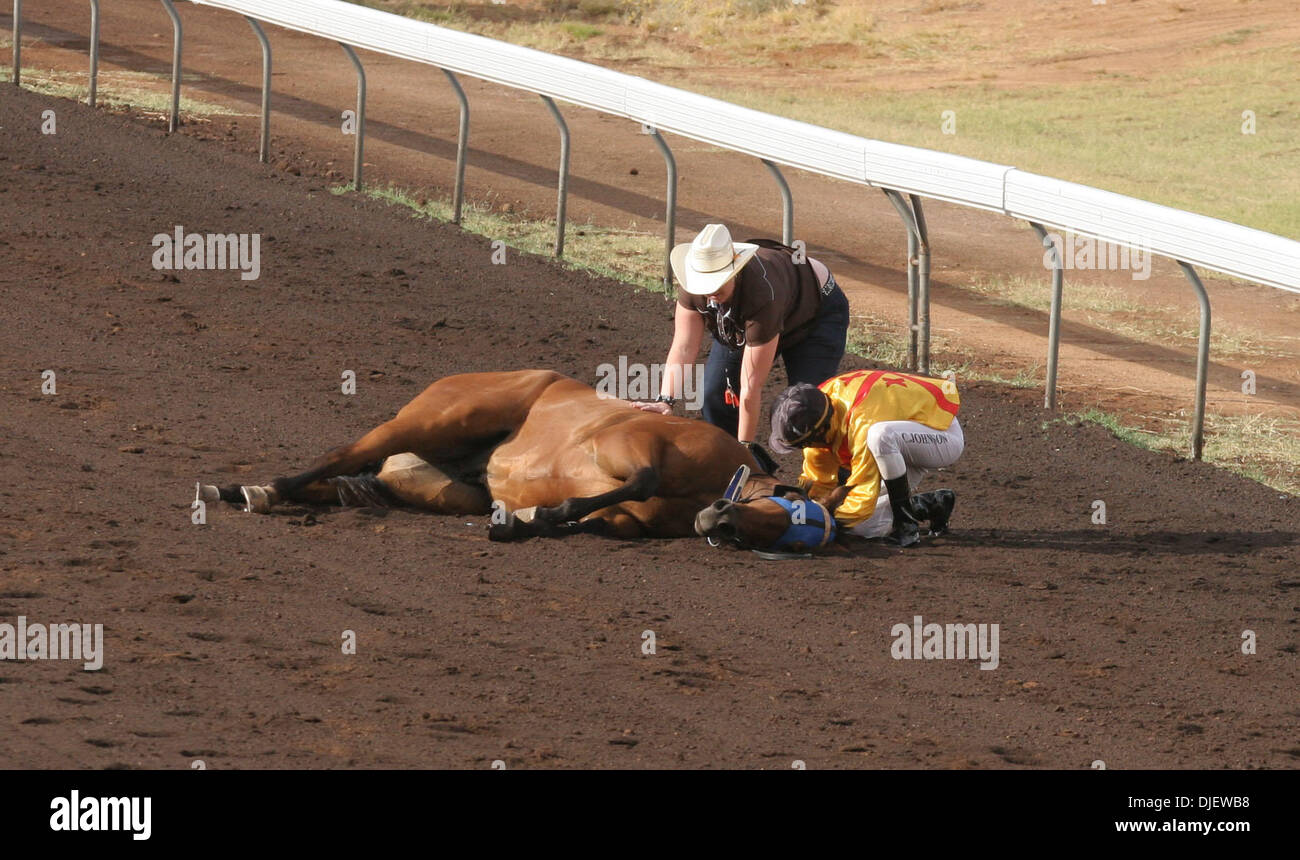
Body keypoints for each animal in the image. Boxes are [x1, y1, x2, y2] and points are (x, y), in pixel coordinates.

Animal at [200, 369, 838, 553]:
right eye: (793, 507)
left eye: (795, 536)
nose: (719, 520)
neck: (708, 486)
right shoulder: (633, 443)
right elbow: (639, 477)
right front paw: (542, 514)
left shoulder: (630, 521)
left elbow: (597, 521)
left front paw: (526, 519)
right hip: (434, 420)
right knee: (341, 455)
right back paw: (261, 488)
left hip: (437, 482)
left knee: (346, 481)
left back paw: (247, 492)